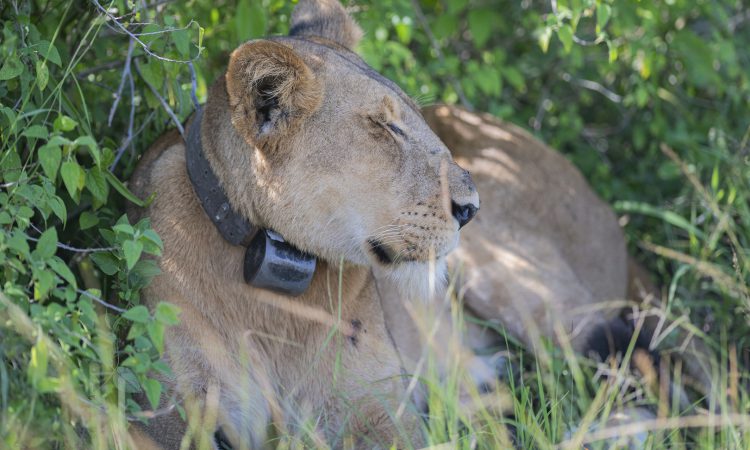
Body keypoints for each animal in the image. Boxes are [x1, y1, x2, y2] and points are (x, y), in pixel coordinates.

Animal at [126, 1, 713, 448]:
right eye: (386, 127)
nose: (472, 207)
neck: (274, 292)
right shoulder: (170, 408)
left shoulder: (378, 408)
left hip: (520, 283)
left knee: (643, 375)